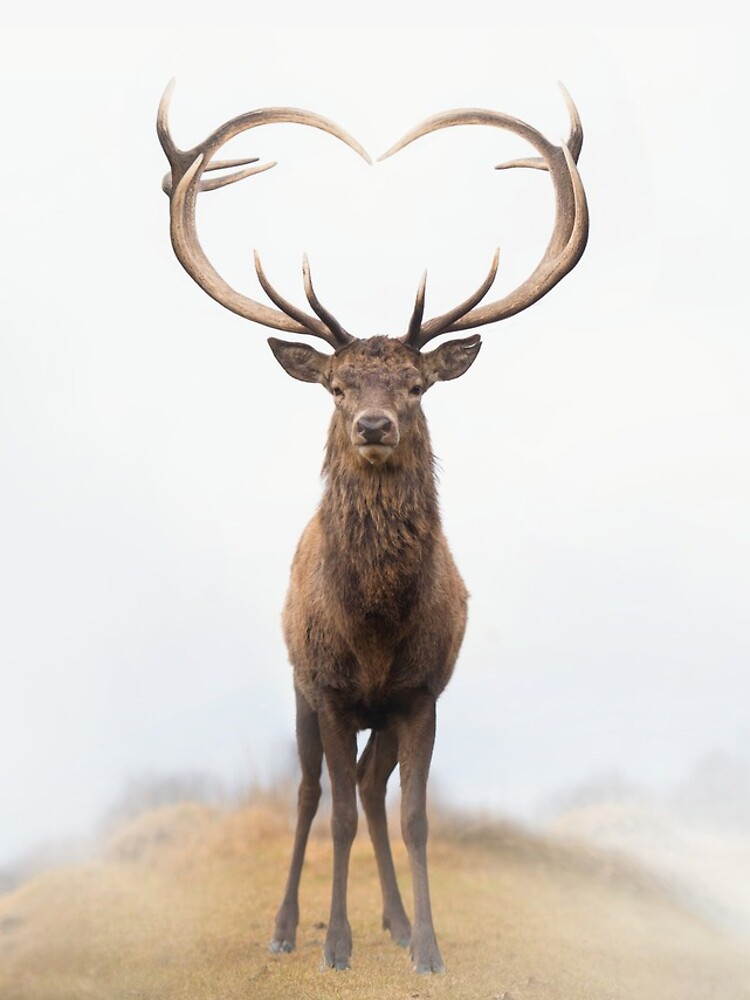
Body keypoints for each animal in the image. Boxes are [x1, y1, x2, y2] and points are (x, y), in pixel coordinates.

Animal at [158, 81, 588, 974]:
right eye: (337, 386)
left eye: (418, 385)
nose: (375, 425)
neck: (377, 627)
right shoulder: (324, 686)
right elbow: (337, 816)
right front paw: (334, 942)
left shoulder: (420, 692)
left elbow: (415, 815)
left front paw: (424, 943)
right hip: (298, 688)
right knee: (313, 791)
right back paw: (289, 926)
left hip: (380, 716)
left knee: (366, 783)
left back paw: (390, 917)